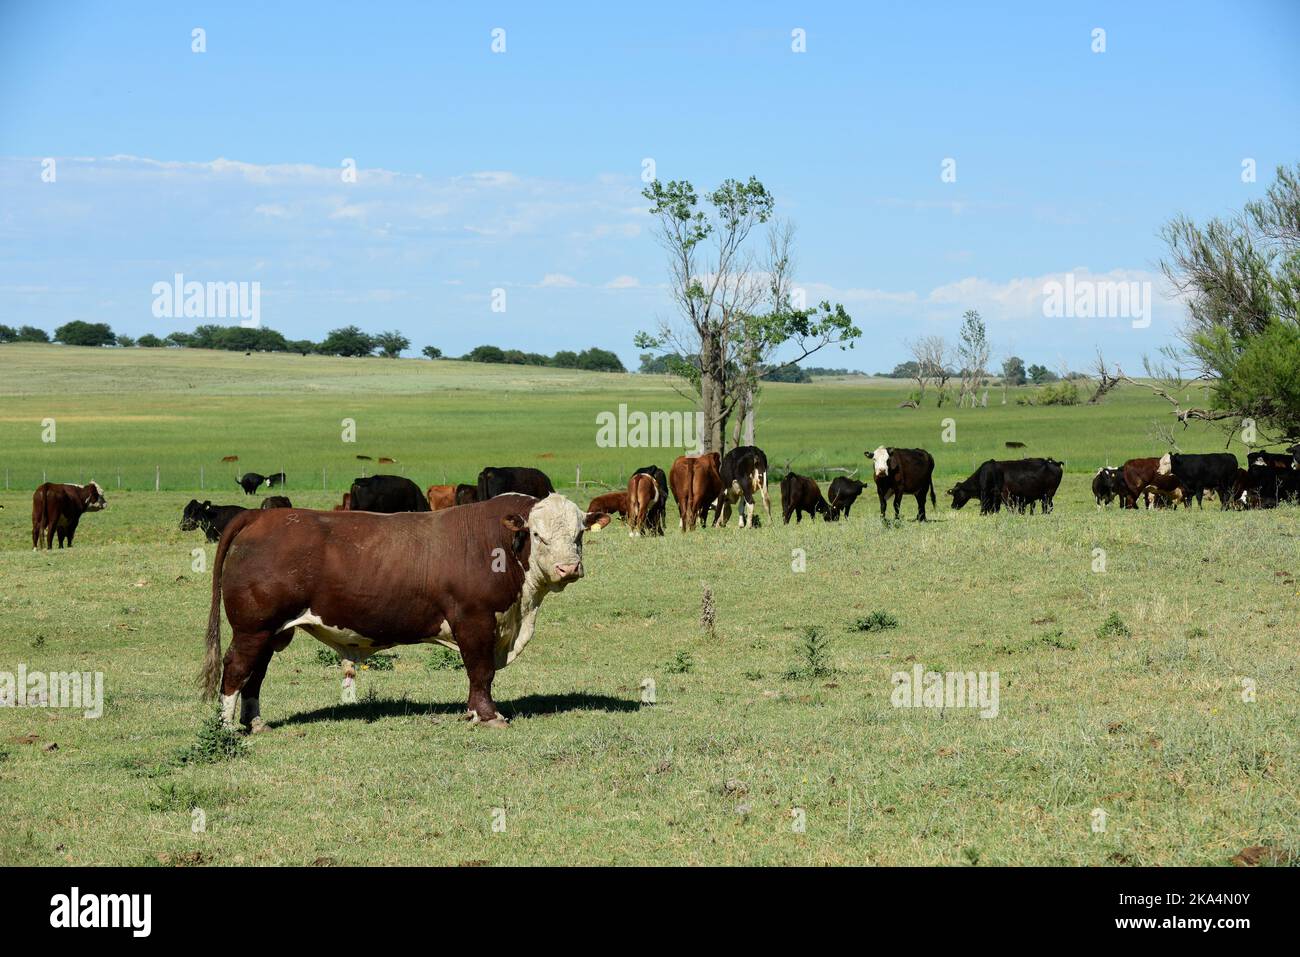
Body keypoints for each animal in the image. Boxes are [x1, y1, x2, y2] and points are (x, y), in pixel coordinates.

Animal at [199, 493, 605, 730]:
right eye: (538, 535)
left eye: (579, 534)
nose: (568, 568)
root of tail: (259, 517)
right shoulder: (474, 620)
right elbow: (481, 671)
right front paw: (488, 716)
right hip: (253, 628)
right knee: (236, 668)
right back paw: (226, 728)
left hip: (272, 631)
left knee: (255, 674)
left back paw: (255, 723)